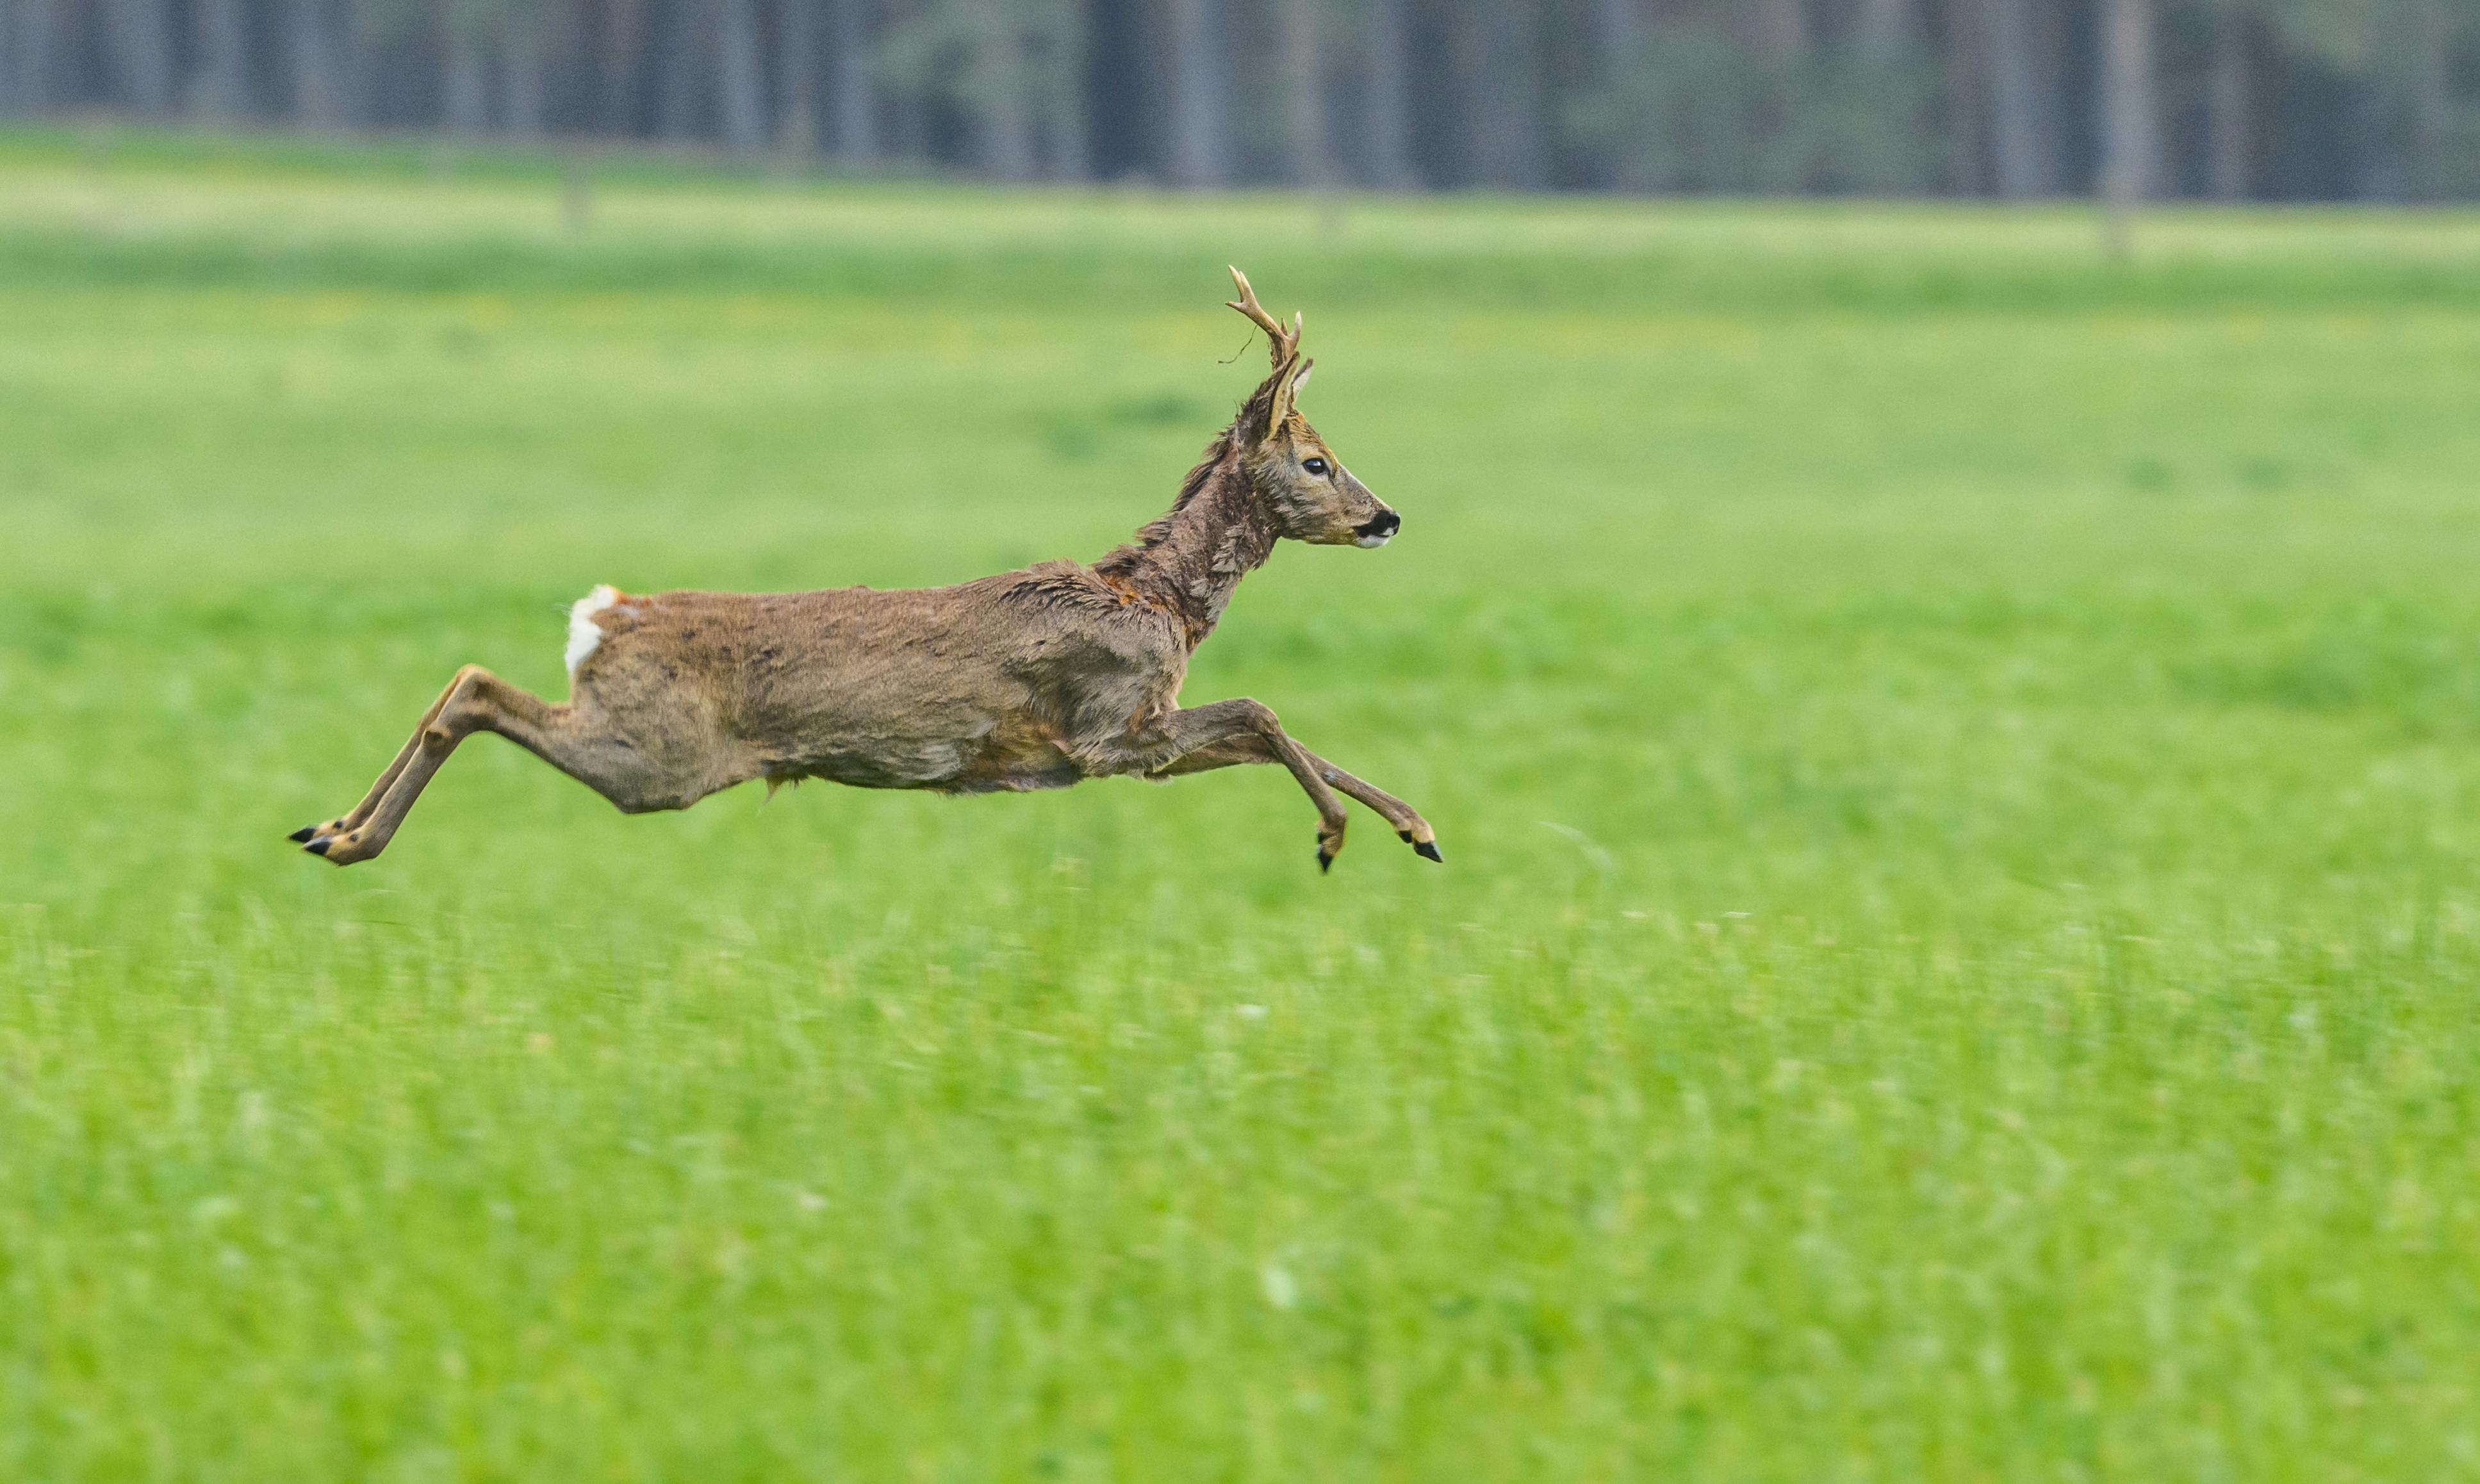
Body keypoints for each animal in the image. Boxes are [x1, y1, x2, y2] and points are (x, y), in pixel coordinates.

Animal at [290, 269, 1442, 873]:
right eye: (1315, 460)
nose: (1385, 516)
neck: (1155, 599)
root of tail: (605, 617)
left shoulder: (1126, 744)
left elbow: (1266, 729)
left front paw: (1416, 829)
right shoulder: (1107, 725)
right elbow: (1260, 712)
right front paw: (1339, 835)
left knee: (464, 683)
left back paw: (327, 828)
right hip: (656, 754)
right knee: (478, 688)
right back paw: (345, 838)